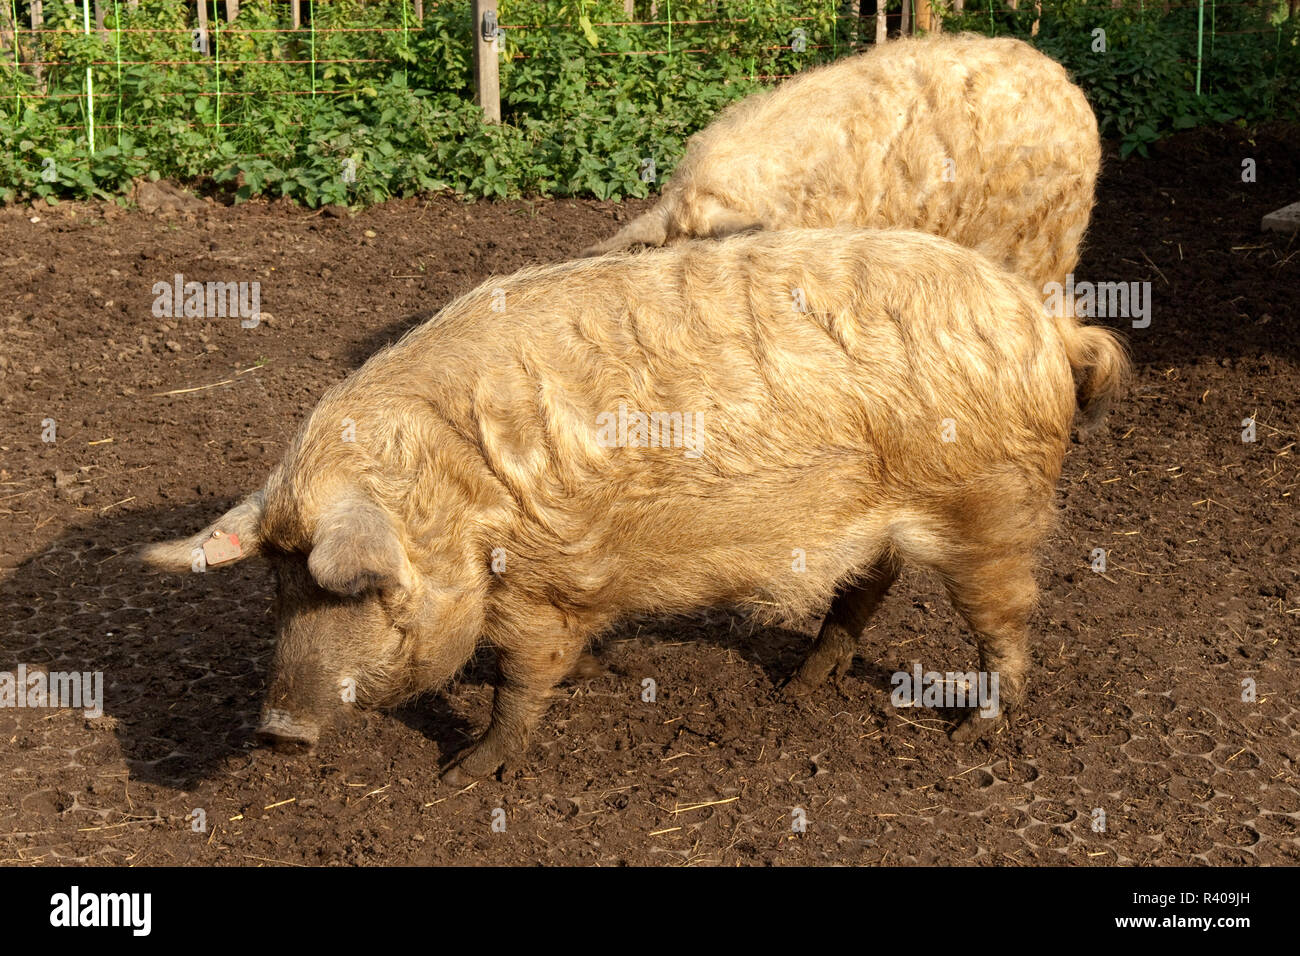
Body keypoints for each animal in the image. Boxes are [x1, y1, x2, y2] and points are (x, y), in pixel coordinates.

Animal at [141, 227, 1127, 784]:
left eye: (353, 590)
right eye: (277, 585)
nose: (276, 732)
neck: (459, 503)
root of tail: (1050, 328)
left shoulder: (547, 582)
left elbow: (522, 679)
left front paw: (464, 774)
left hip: (993, 510)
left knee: (1007, 616)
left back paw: (976, 727)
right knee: (866, 589)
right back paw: (798, 685)